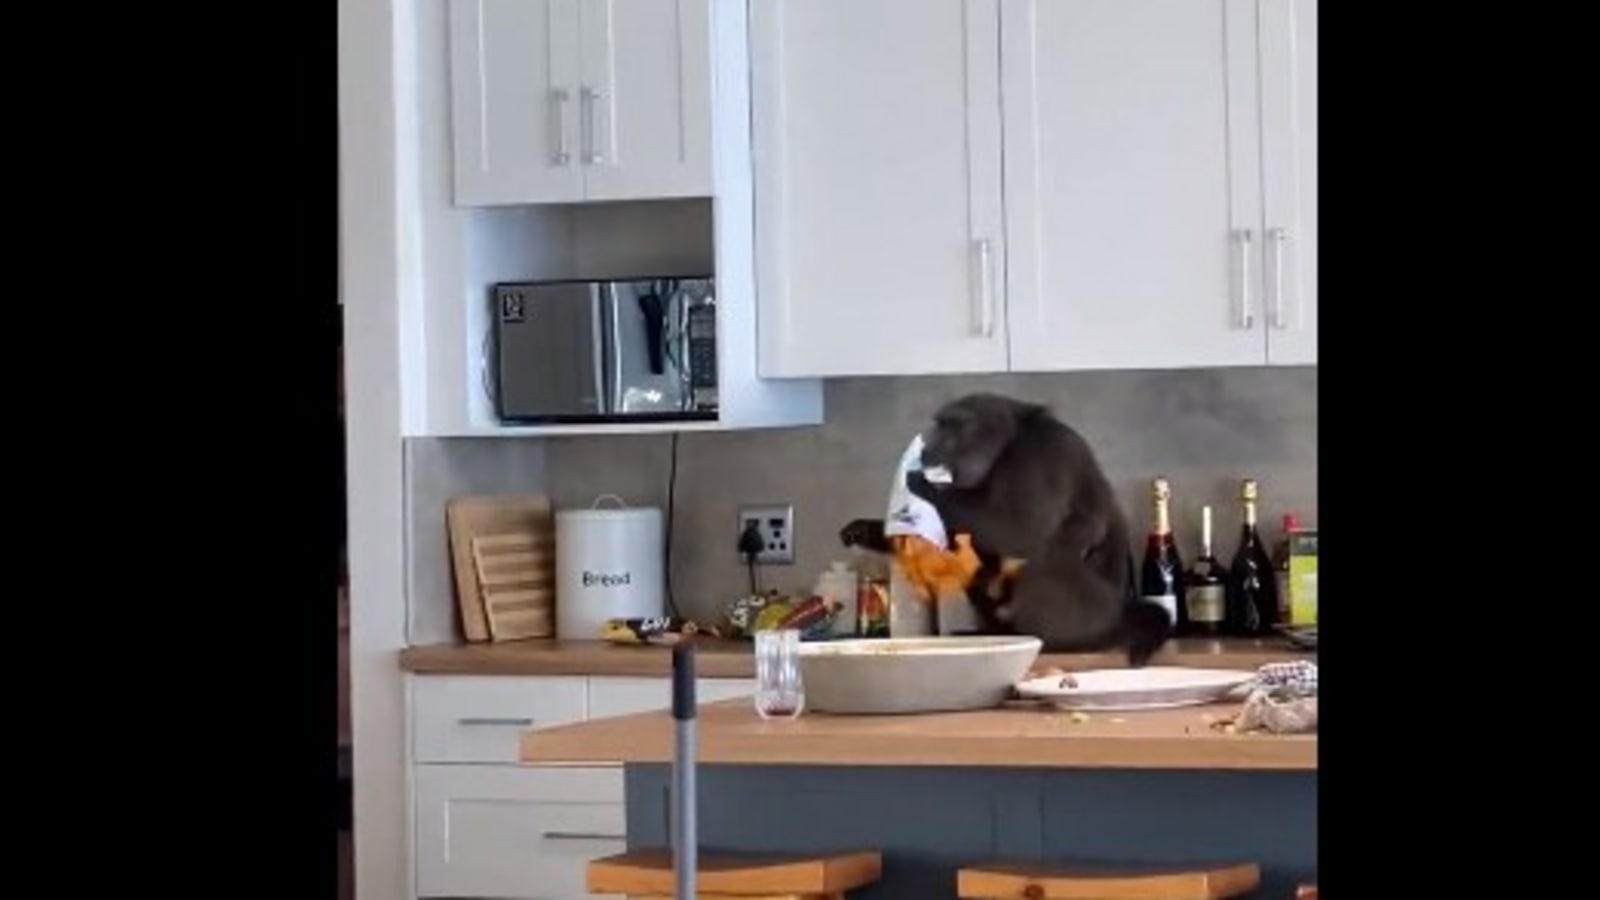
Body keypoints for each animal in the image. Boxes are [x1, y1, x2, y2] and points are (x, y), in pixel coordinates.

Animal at [903, 392, 1173, 667]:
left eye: (953, 426)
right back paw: (997, 631)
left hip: (1093, 617)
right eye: (940, 424)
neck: (1008, 444)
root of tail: (1119, 620)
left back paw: (1049, 642)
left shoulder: (1041, 454)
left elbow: (1023, 531)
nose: (927, 448)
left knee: (1045, 561)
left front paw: (924, 486)